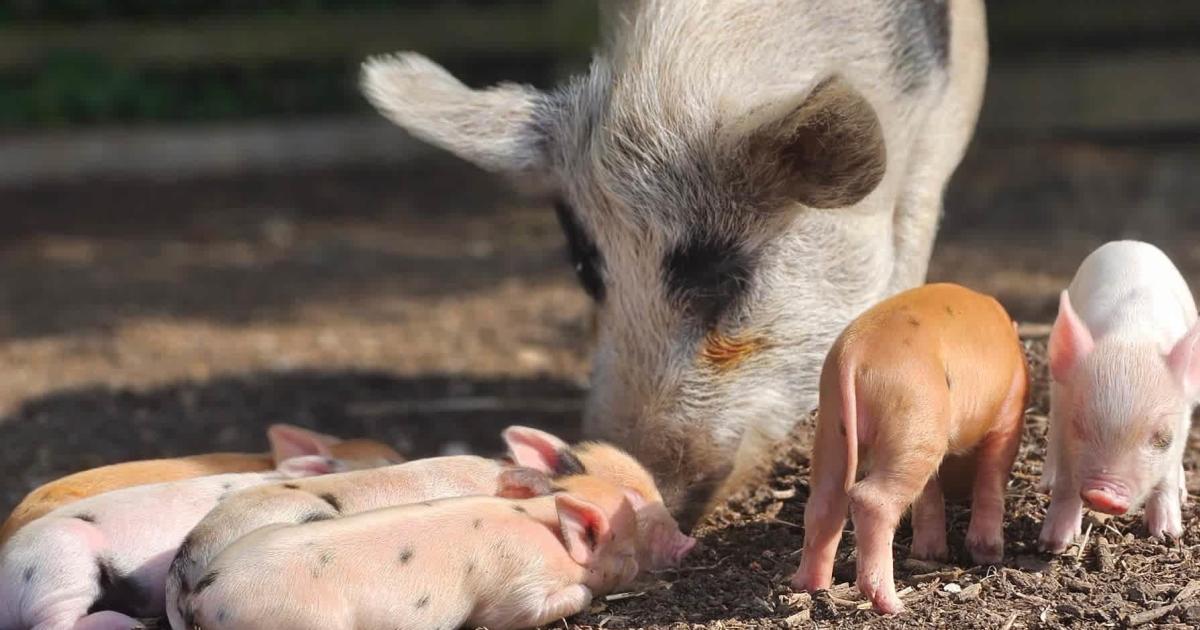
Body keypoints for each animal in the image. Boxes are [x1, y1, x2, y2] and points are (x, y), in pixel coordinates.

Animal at [791, 283, 1028, 613]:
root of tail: (853, 355)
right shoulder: (1009, 413)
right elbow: (992, 477)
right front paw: (988, 555)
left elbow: (929, 495)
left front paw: (930, 555)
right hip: (914, 416)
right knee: (871, 500)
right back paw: (894, 605)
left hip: (836, 426)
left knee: (825, 502)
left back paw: (810, 587)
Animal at [1039, 240, 1200, 553]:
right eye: (1078, 425)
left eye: (1163, 438)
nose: (1104, 495)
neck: (1132, 336)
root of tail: (1132, 243)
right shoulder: (1064, 407)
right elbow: (1066, 480)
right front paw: (1053, 544)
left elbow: (1167, 476)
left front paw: (1168, 534)